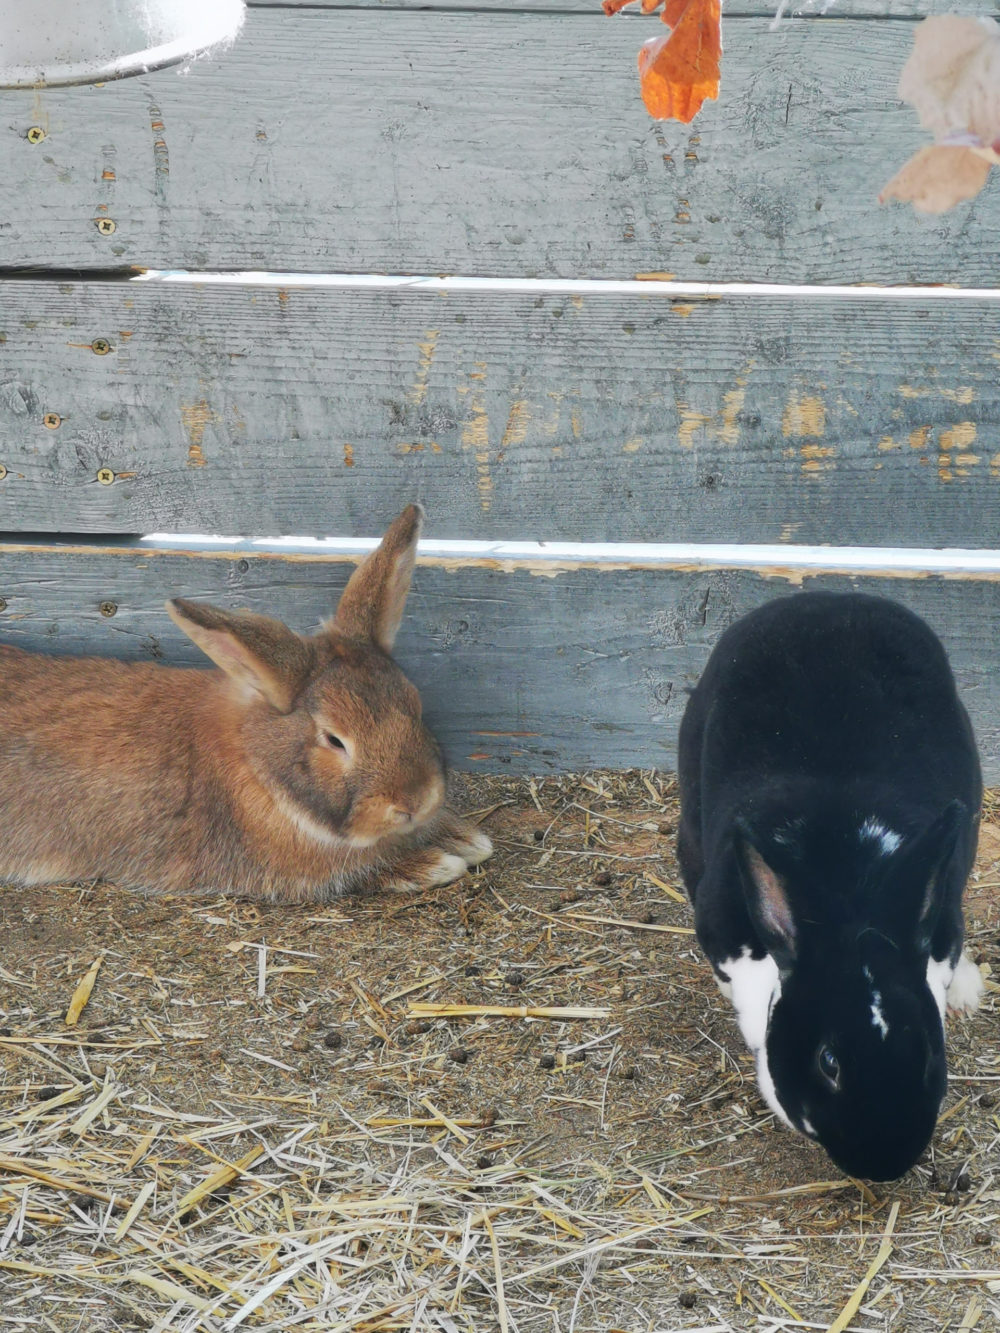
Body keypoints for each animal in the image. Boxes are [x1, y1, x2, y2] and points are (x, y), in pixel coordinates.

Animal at [0, 504, 492, 902]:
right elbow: (362, 870)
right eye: (334, 739)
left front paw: (465, 837)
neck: (257, 766)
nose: (415, 802)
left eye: (415, 704)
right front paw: (438, 862)